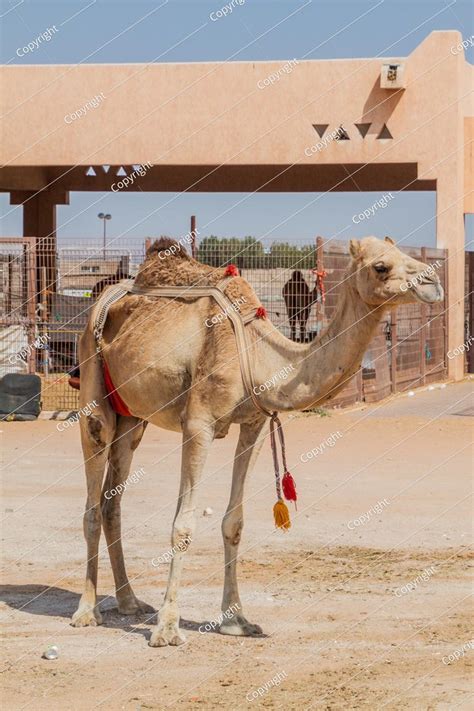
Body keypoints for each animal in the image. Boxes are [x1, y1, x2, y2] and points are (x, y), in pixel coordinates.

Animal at [71, 236, 443, 646]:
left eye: (405, 255)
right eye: (380, 266)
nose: (434, 283)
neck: (259, 356)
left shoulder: (254, 423)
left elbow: (234, 522)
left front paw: (237, 620)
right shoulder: (198, 424)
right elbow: (183, 525)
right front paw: (167, 628)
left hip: (132, 417)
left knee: (112, 502)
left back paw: (129, 602)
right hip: (94, 386)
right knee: (92, 497)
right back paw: (87, 611)